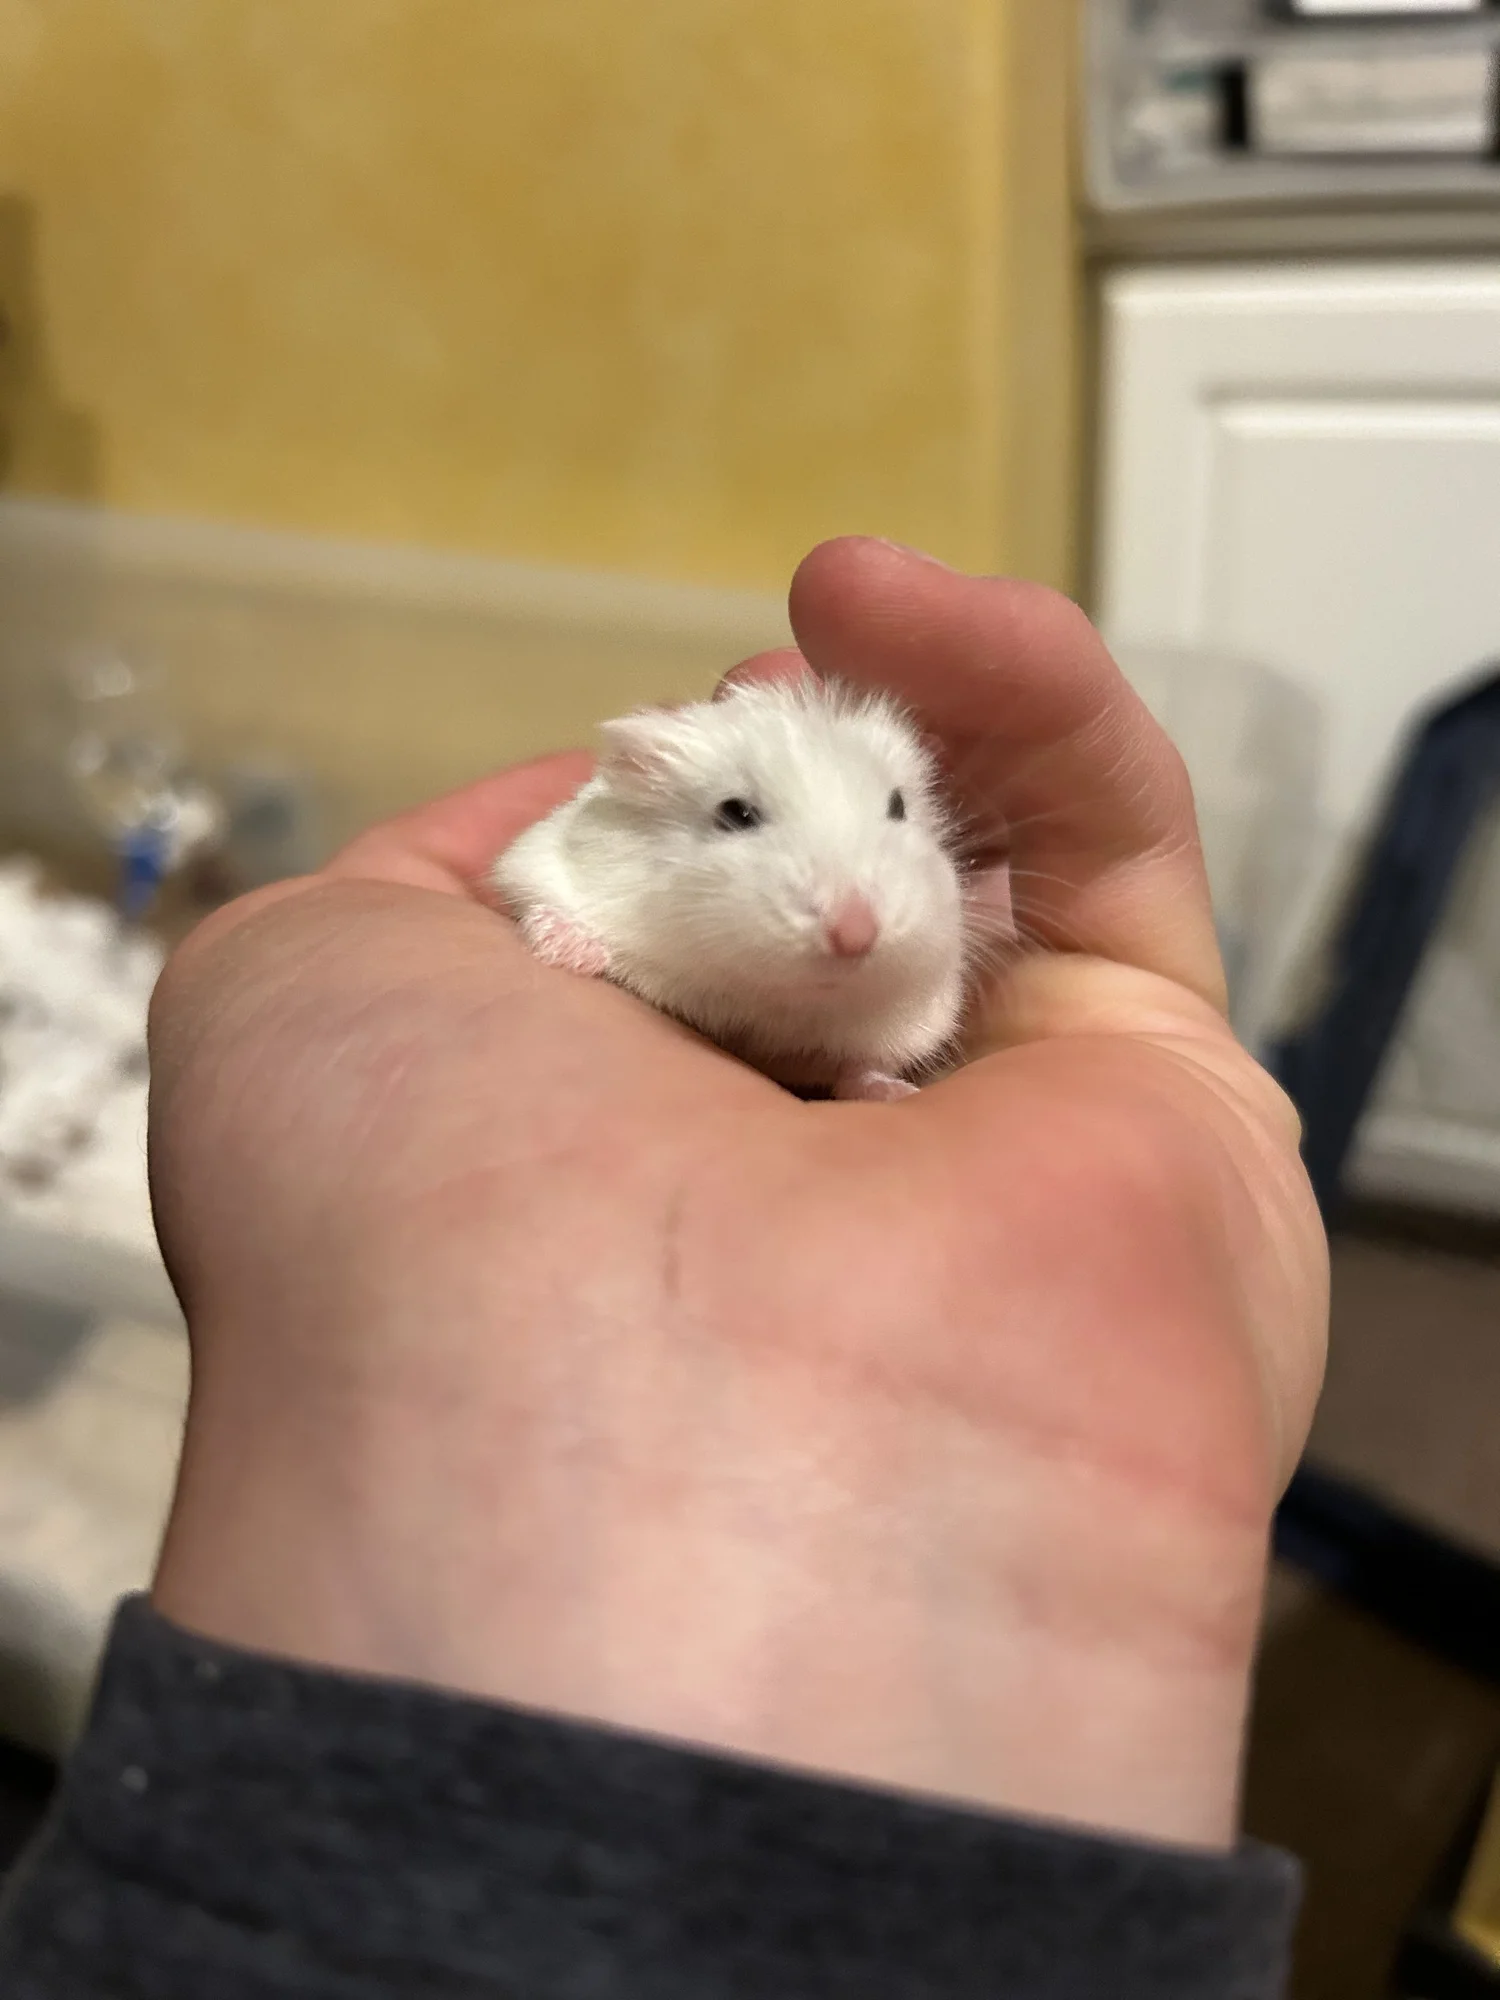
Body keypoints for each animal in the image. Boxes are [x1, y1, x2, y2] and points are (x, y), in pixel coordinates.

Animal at [490, 677, 971, 1100]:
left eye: (898, 806)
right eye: (735, 813)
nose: (855, 936)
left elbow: (863, 1063)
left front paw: (894, 1091)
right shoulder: (541, 862)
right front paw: (568, 952)